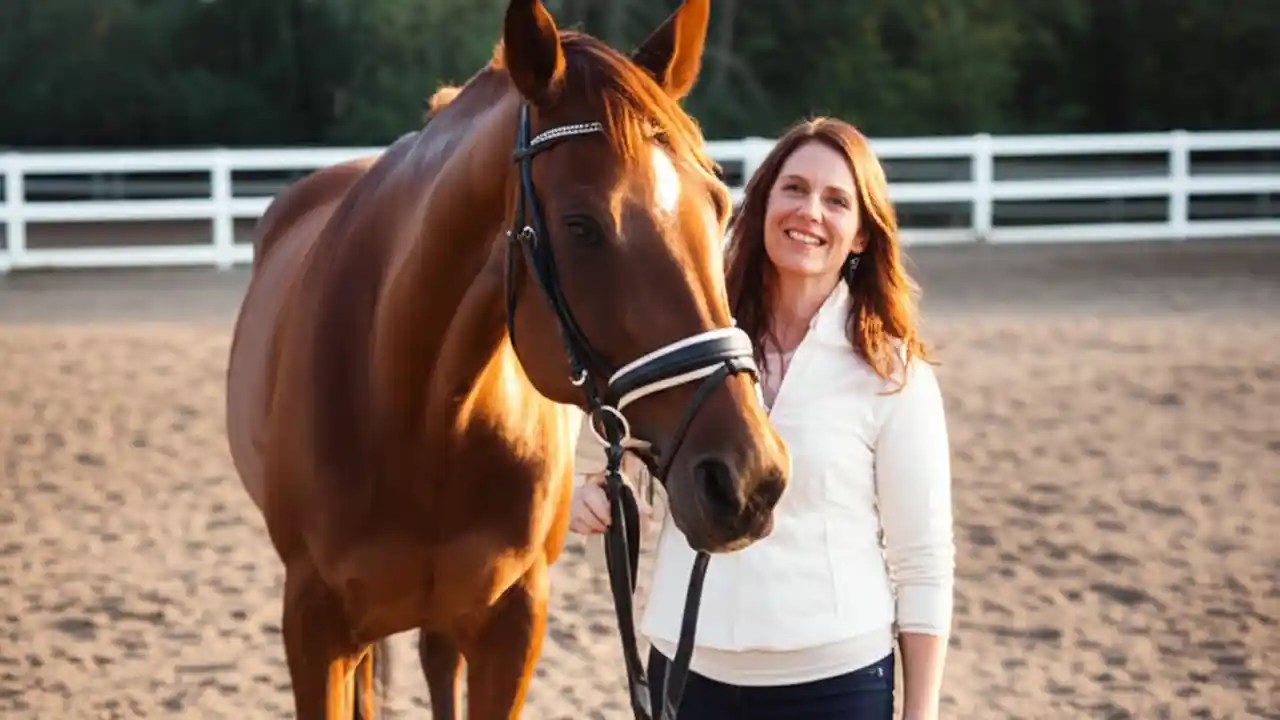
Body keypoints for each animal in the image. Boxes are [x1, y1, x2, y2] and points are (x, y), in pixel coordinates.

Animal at [224, 1, 789, 717]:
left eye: (719, 206)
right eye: (580, 225)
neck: (419, 414)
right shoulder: (314, 627)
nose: (750, 477)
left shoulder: (514, 624)